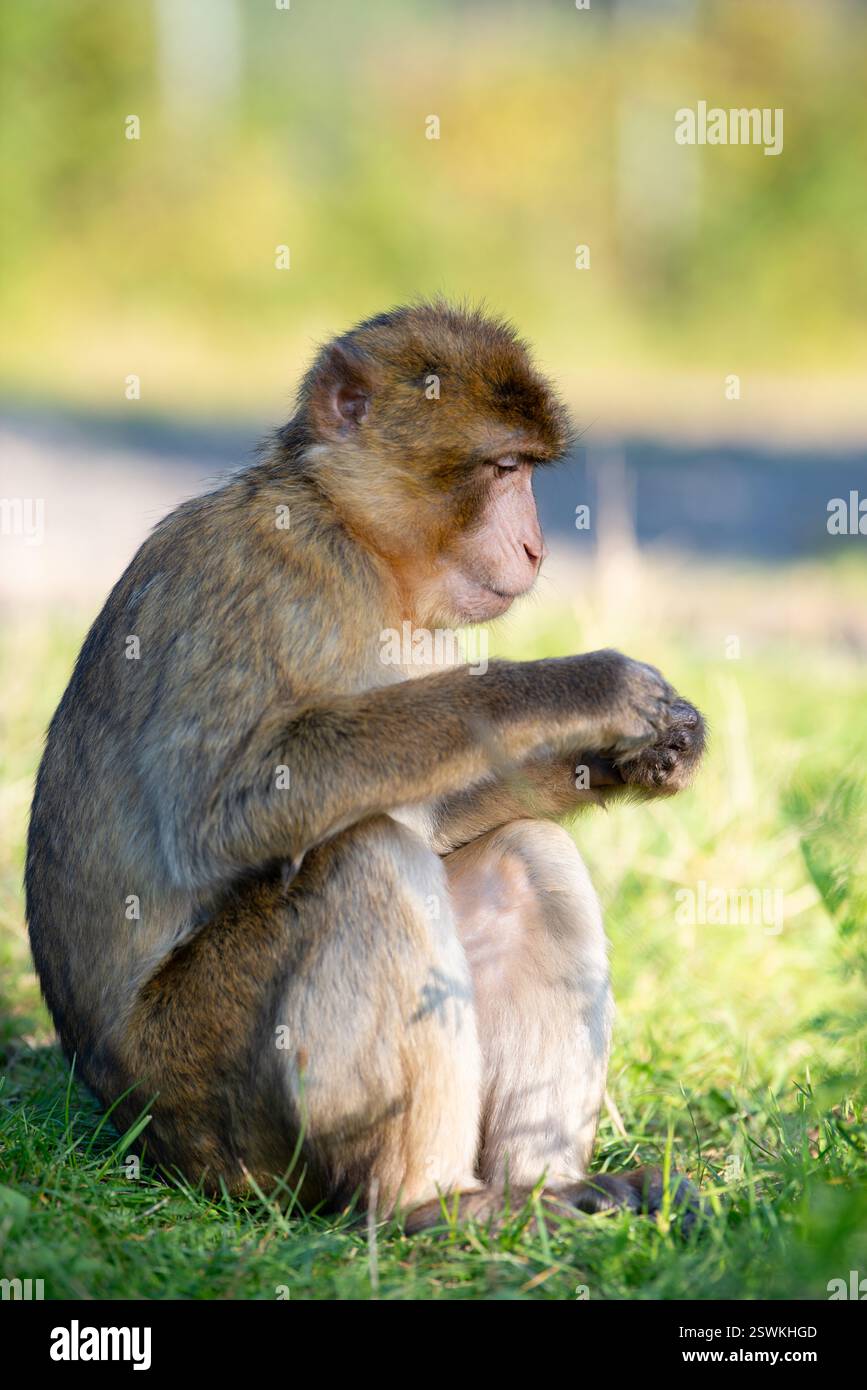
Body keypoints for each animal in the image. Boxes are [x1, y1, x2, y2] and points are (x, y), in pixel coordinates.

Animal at [25, 301, 705, 1230]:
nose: (536, 548)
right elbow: (224, 809)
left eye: (528, 471)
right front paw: (584, 686)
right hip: (206, 1101)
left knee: (522, 850)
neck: (354, 534)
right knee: (364, 854)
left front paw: (637, 757)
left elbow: (439, 815)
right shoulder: (272, 574)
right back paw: (426, 1203)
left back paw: (544, 1188)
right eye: (503, 469)